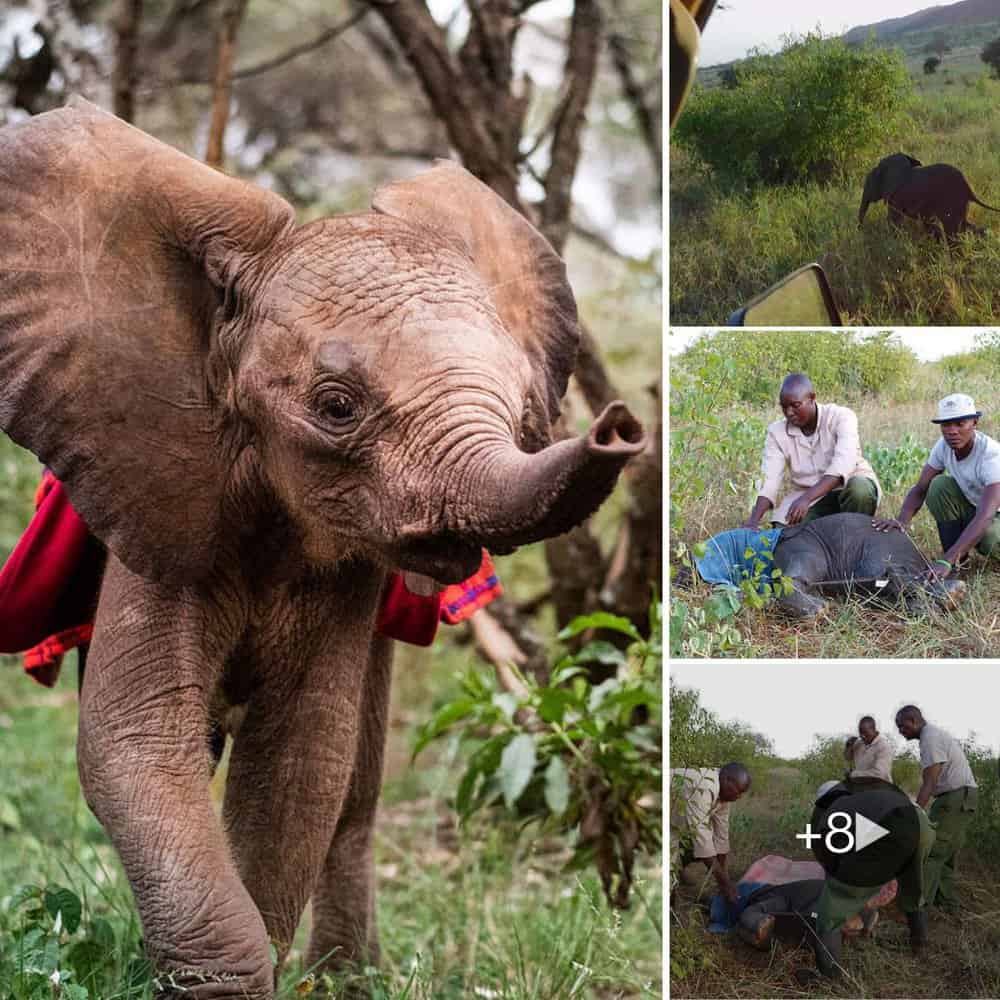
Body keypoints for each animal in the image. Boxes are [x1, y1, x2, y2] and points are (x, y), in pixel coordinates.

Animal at [0, 98, 647, 996]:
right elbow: (137, 744)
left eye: (524, 407)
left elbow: (303, 762)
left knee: (358, 786)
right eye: (336, 407)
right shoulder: (159, 486)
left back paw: (350, 980)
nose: (620, 424)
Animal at [858, 153, 1000, 238]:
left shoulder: (897, 197)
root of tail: (968, 188)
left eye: (870, 182)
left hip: (952, 199)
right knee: (963, 225)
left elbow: (894, 222)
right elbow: (929, 223)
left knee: (952, 229)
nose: (860, 229)